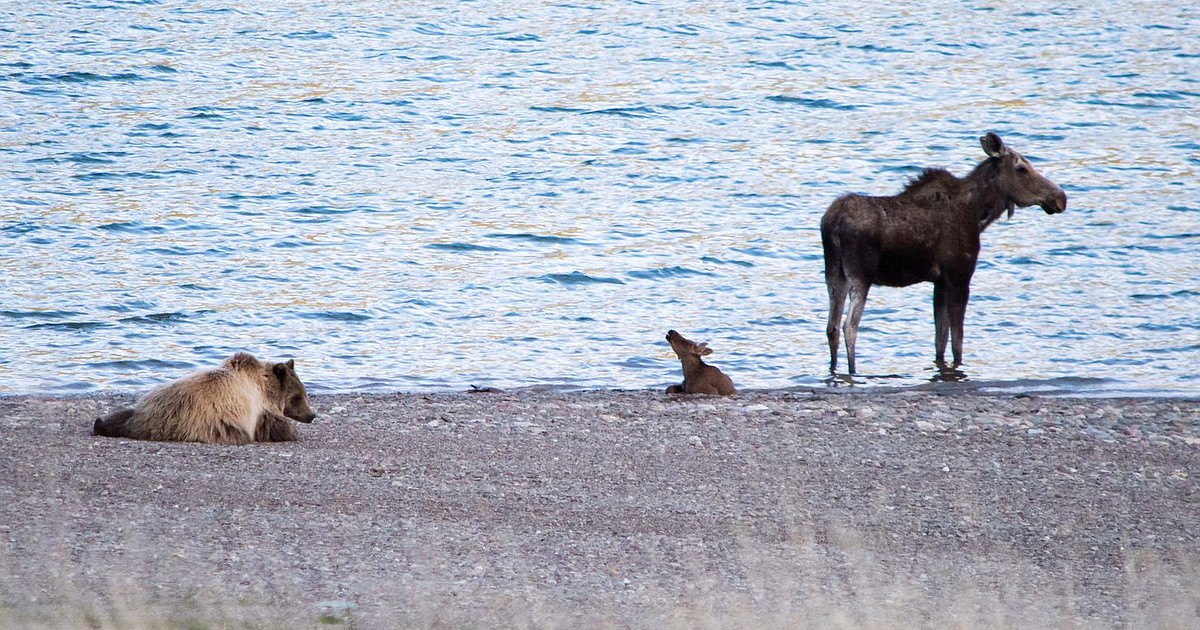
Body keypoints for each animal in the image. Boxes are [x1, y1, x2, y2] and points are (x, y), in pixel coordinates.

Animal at [93, 352, 316, 445]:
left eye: (304, 394)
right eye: (297, 397)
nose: (312, 415)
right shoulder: (257, 409)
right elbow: (274, 425)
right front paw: (291, 432)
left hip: (146, 403)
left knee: (119, 416)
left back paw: (102, 423)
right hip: (214, 423)